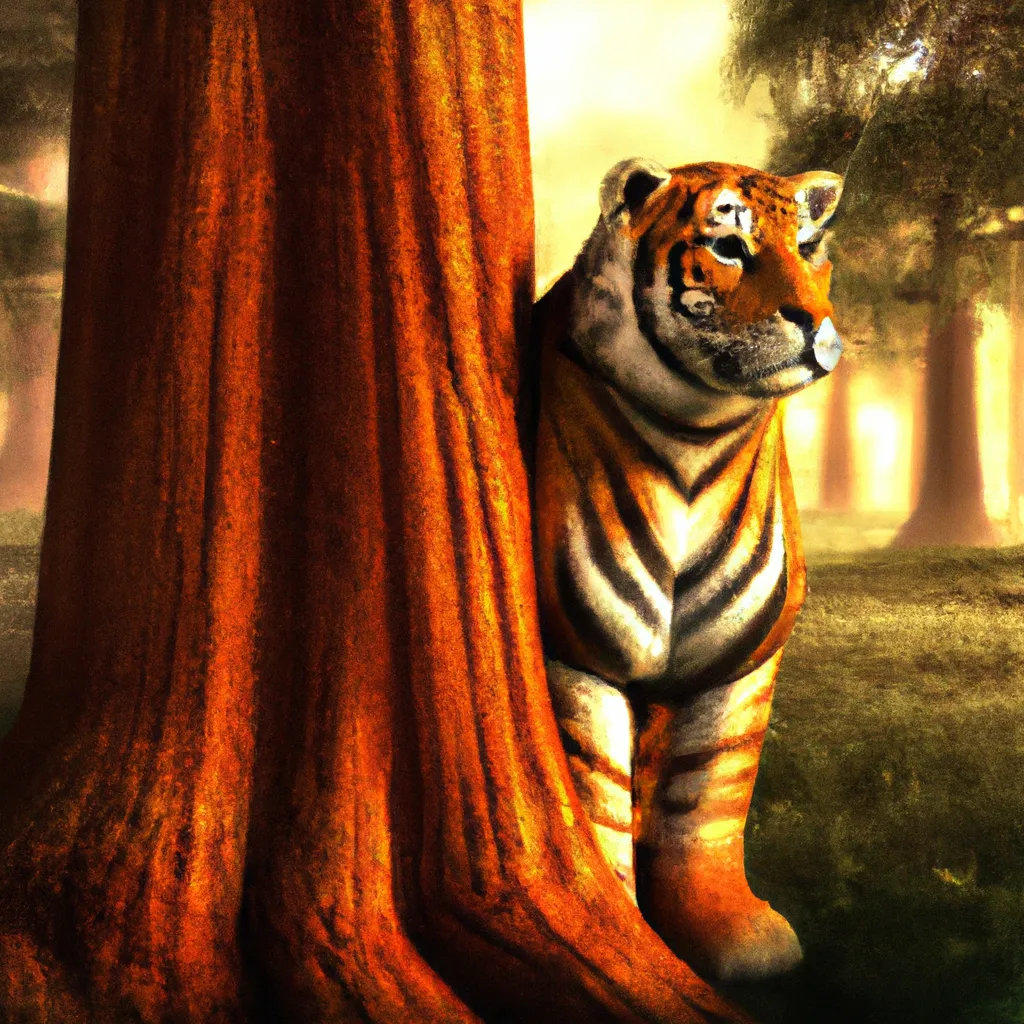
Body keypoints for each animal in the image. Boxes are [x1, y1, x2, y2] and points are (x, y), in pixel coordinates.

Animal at [532, 157, 843, 981]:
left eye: (808, 247)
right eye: (730, 246)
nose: (813, 321)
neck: (694, 430)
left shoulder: (741, 662)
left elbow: (708, 795)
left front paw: (732, 933)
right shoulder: (580, 654)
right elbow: (597, 795)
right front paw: (618, 933)